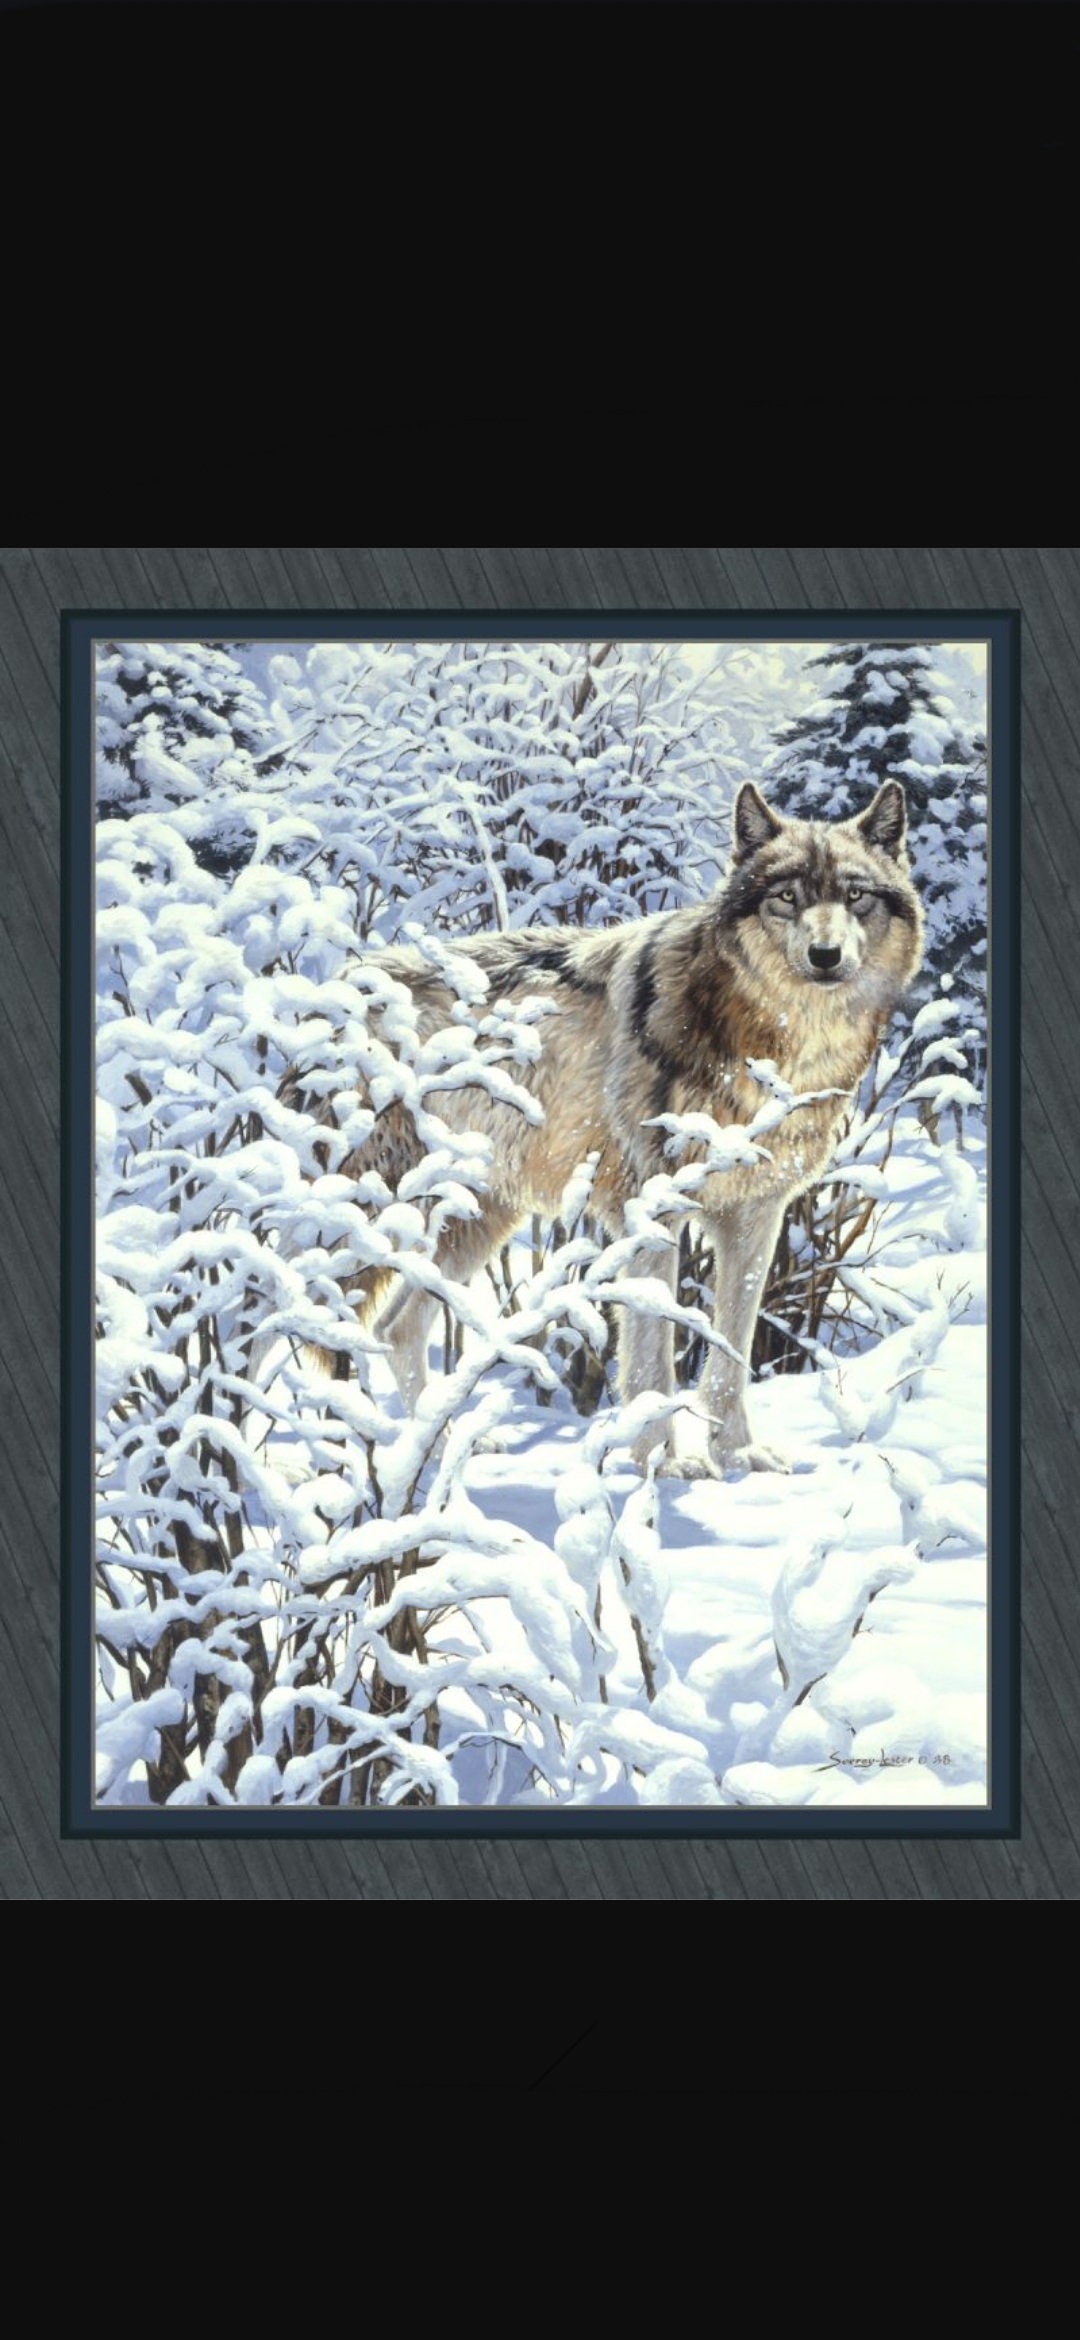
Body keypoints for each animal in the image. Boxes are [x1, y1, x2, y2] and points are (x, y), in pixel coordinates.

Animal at [280, 780, 923, 1476]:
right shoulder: (650, 1211)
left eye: (855, 896)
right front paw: (658, 1467)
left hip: (472, 1224)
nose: (826, 956)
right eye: (787, 897)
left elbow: (730, 1348)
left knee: (395, 1328)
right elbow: (651, 1353)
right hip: (355, 1221)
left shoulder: (756, 1217)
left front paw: (738, 1455)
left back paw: (435, 1455)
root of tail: (340, 985)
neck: (772, 1043)